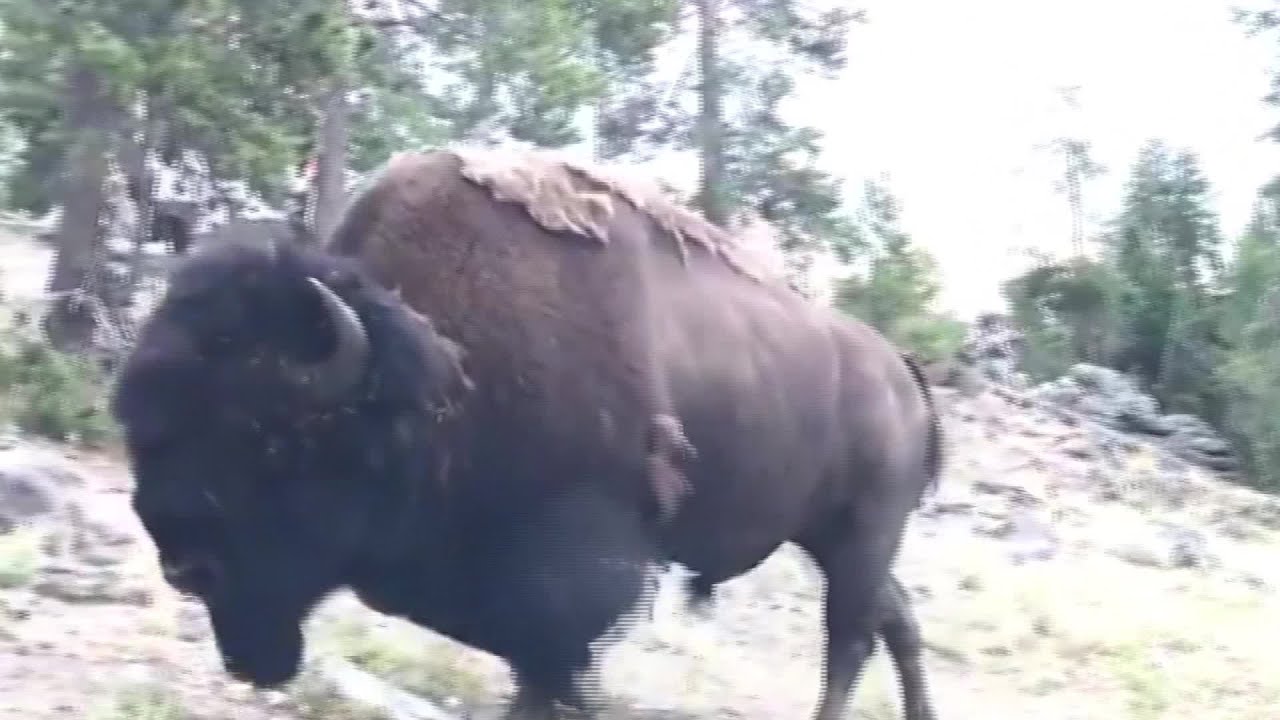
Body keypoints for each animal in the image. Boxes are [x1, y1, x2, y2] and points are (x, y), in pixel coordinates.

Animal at [111, 147, 943, 720]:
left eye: (274, 440)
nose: (184, 563)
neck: (441, 375)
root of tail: (905, 374)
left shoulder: (576, 586)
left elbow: (550, 669)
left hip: (860, 535)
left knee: (852, 636)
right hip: (831, 538)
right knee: (895, 617)